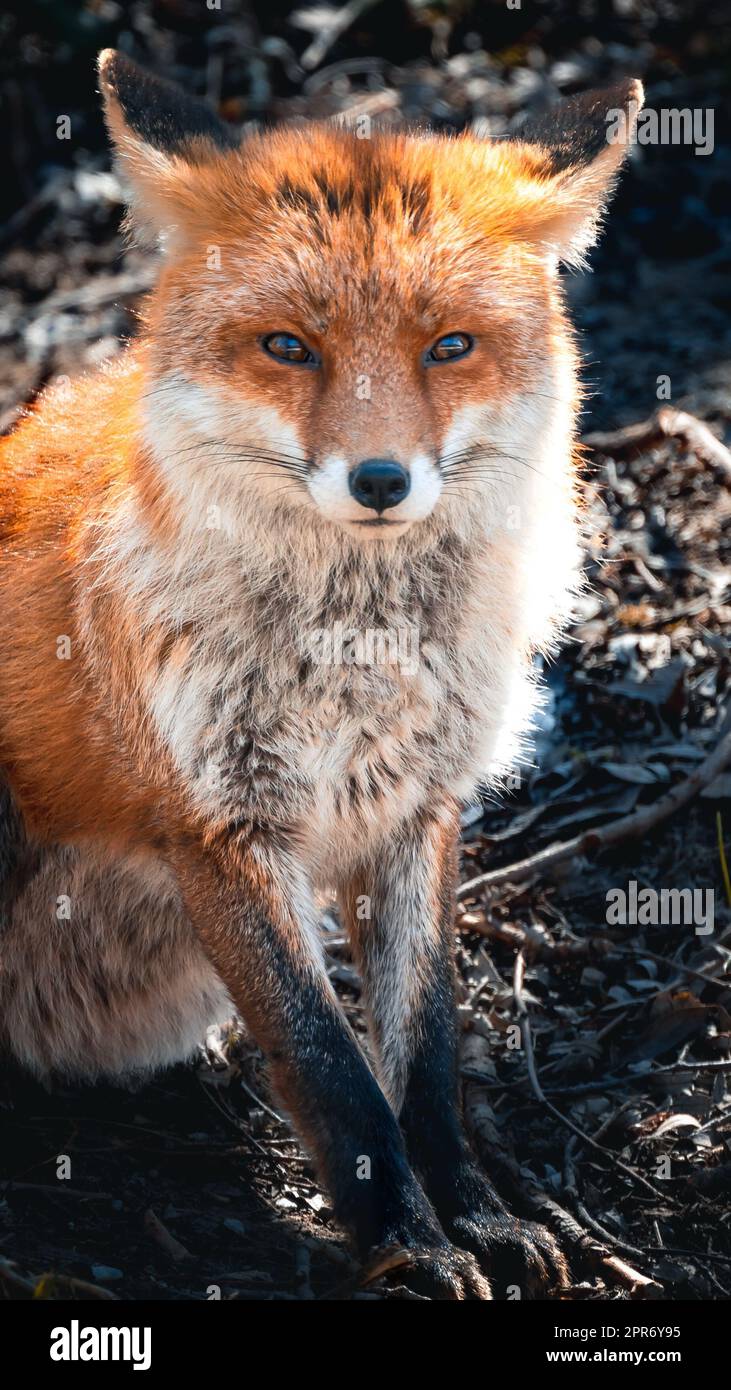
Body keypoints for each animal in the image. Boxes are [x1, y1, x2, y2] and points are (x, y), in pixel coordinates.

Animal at [0, 52, 643, 1299]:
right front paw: (400, 1240)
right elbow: (327, 1065)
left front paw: (470, 1214)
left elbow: (422, 1056)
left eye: (448, 347)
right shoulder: (222, 824)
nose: (380, 479)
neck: (357, 656)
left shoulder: (417, 810)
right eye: (288, 347)